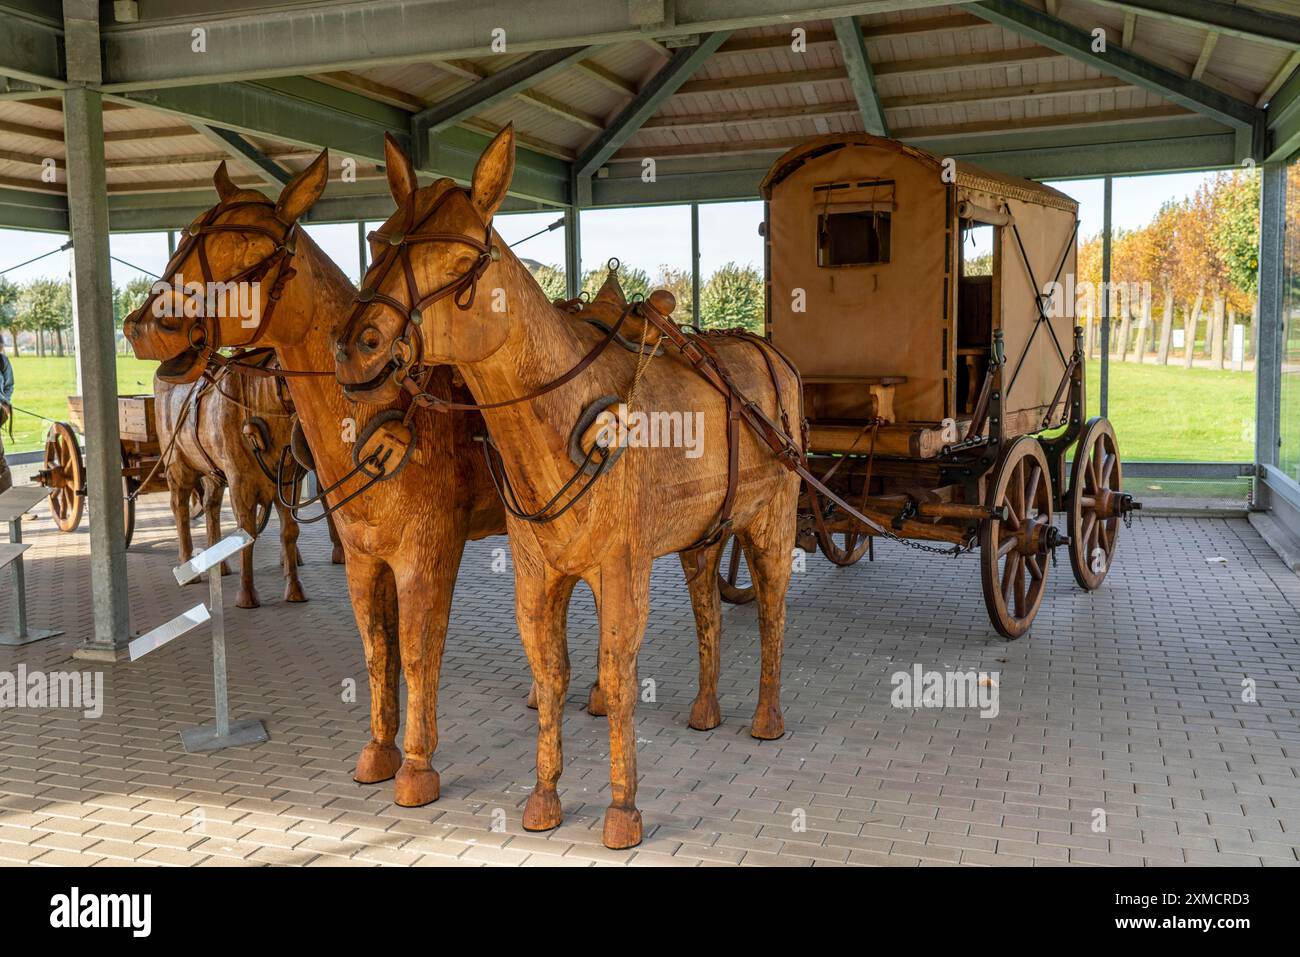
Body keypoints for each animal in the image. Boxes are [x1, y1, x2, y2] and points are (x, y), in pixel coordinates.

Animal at [334, 127, 802, 849]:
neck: (573, 415)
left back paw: (767, 717)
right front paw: (544, 796)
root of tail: (773, 356)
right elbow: (550, 673)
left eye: (460, 257)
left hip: (773, 519)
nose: (358, 344)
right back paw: (705, 708)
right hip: (703, 534)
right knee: (707, 608)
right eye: (380, 241)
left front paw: (623, 810)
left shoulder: (622, 568)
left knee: (774, 607)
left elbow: (616, 672)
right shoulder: (536, 573)